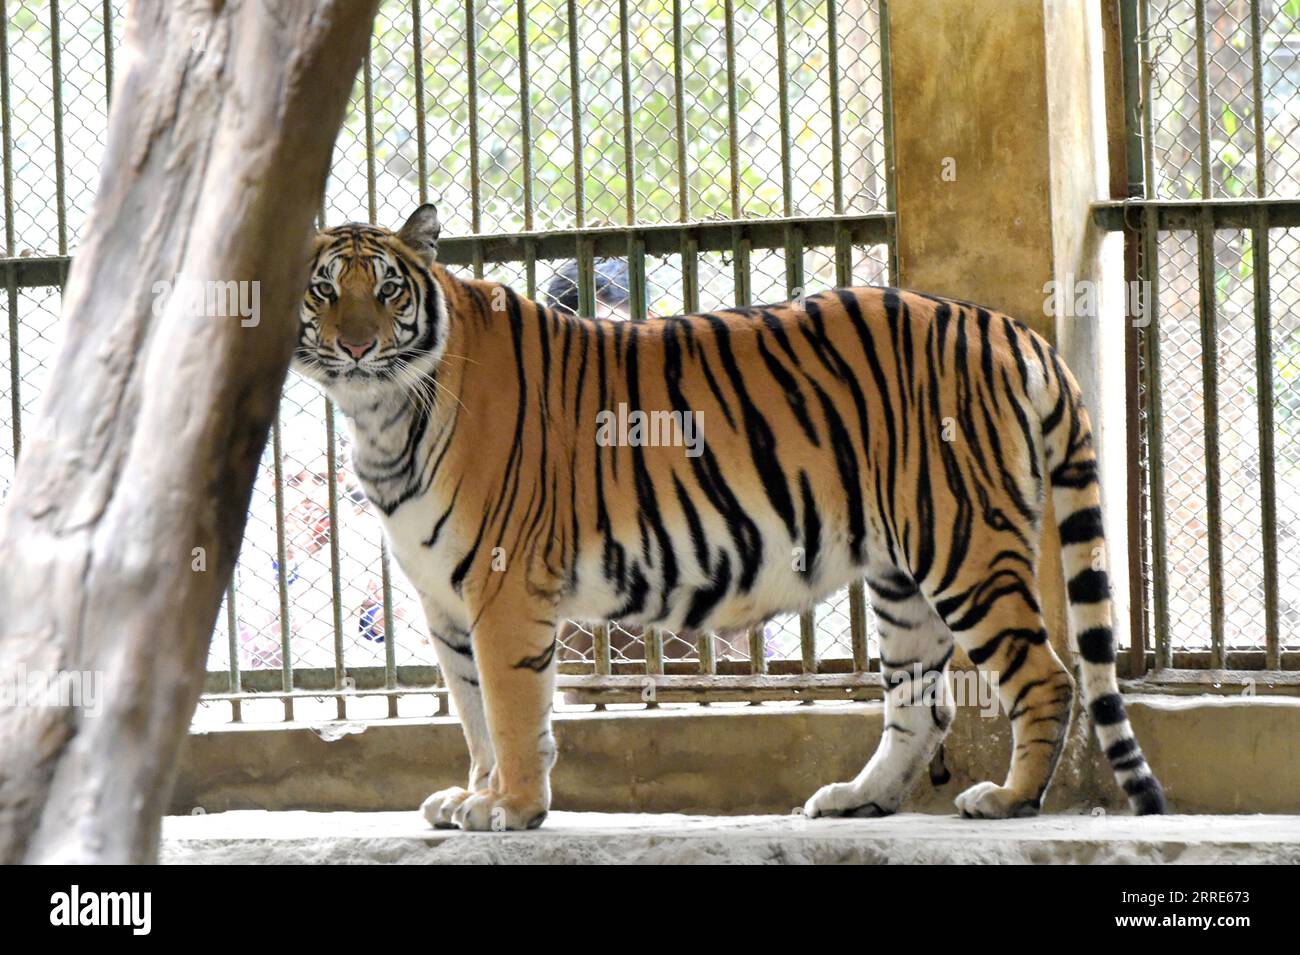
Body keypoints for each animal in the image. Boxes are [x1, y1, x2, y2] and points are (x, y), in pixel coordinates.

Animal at [291, 203, 1166, 831]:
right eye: (325, 289)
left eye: (389, 290)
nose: (359, 346)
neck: (381, 415)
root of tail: (1009, 326)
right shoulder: (444, 599)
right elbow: (471, 712)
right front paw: (473, 795)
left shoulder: (502, 590)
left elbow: (509, 709)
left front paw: (512, 807)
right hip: (901, 575)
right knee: (921, 704)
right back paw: (857, 798)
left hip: (963, 545)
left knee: (1046, 675)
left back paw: (1011, 799)